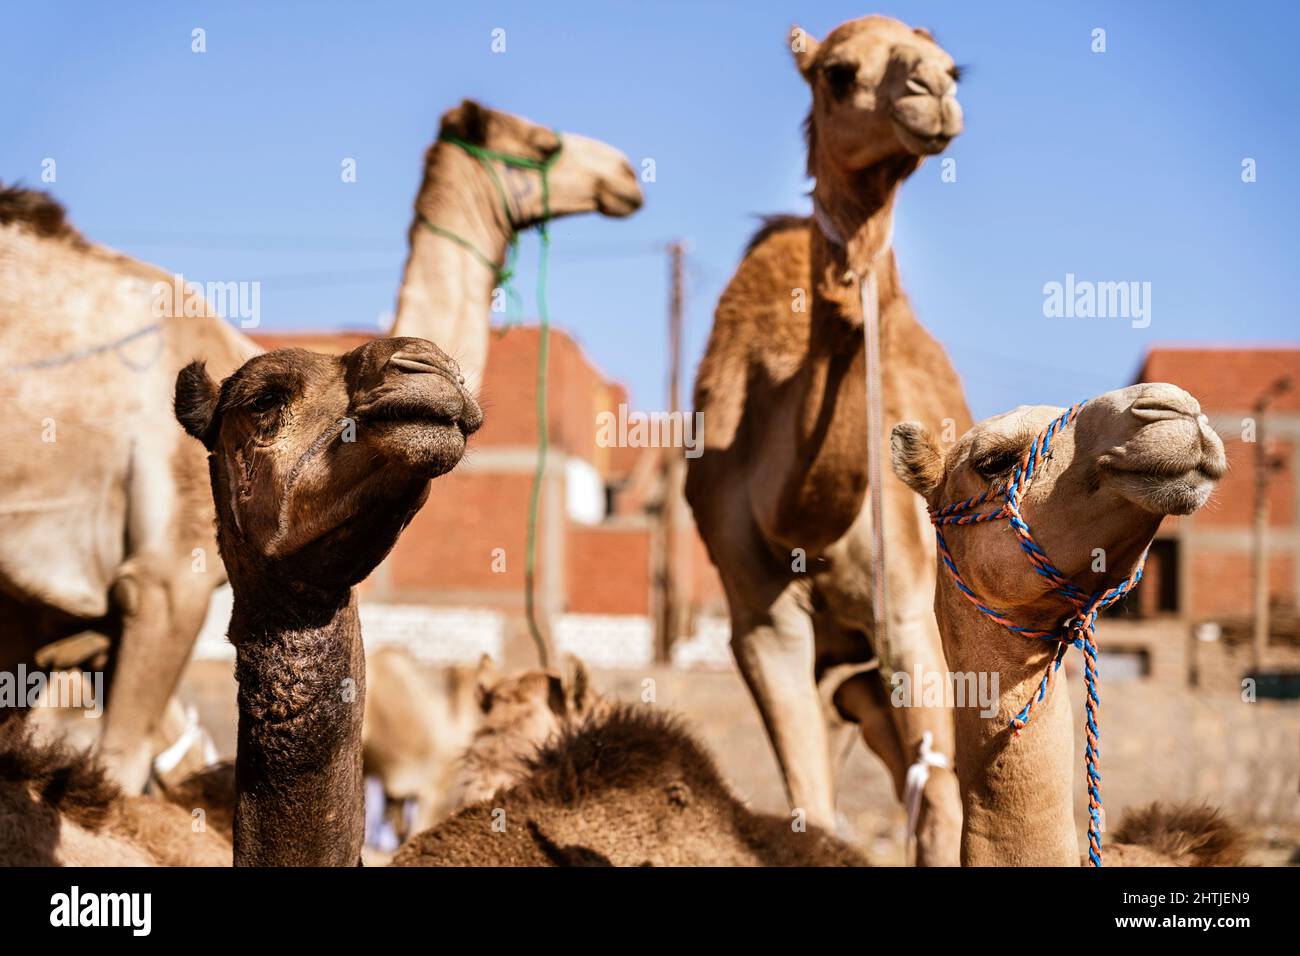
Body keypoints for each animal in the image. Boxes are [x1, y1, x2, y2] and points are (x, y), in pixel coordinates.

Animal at [684, 15, 966, 864]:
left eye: (952, 66)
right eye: (839, 73)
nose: (934, 88)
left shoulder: (906, 610)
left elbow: (940, 802)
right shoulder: (760, 619)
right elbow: (809, 808)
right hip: (845, 673)